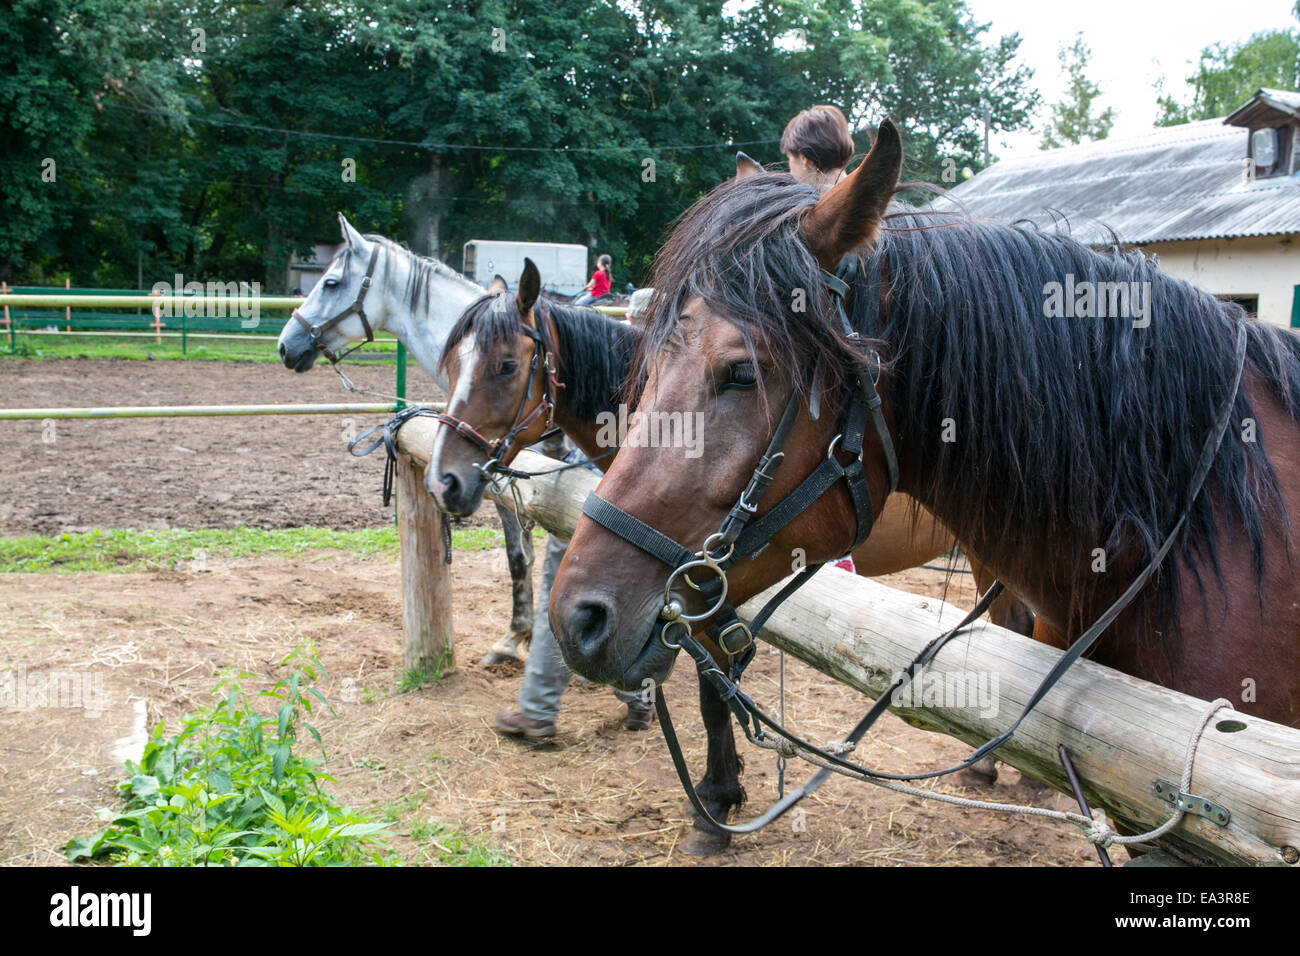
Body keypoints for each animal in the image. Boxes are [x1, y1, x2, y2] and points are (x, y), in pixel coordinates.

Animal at [425, 257, 1037, 853]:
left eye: (506, 366)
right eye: (452, 366)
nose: (444, 482)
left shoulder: (702, 587)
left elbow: (713, 693)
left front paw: (715, 807)